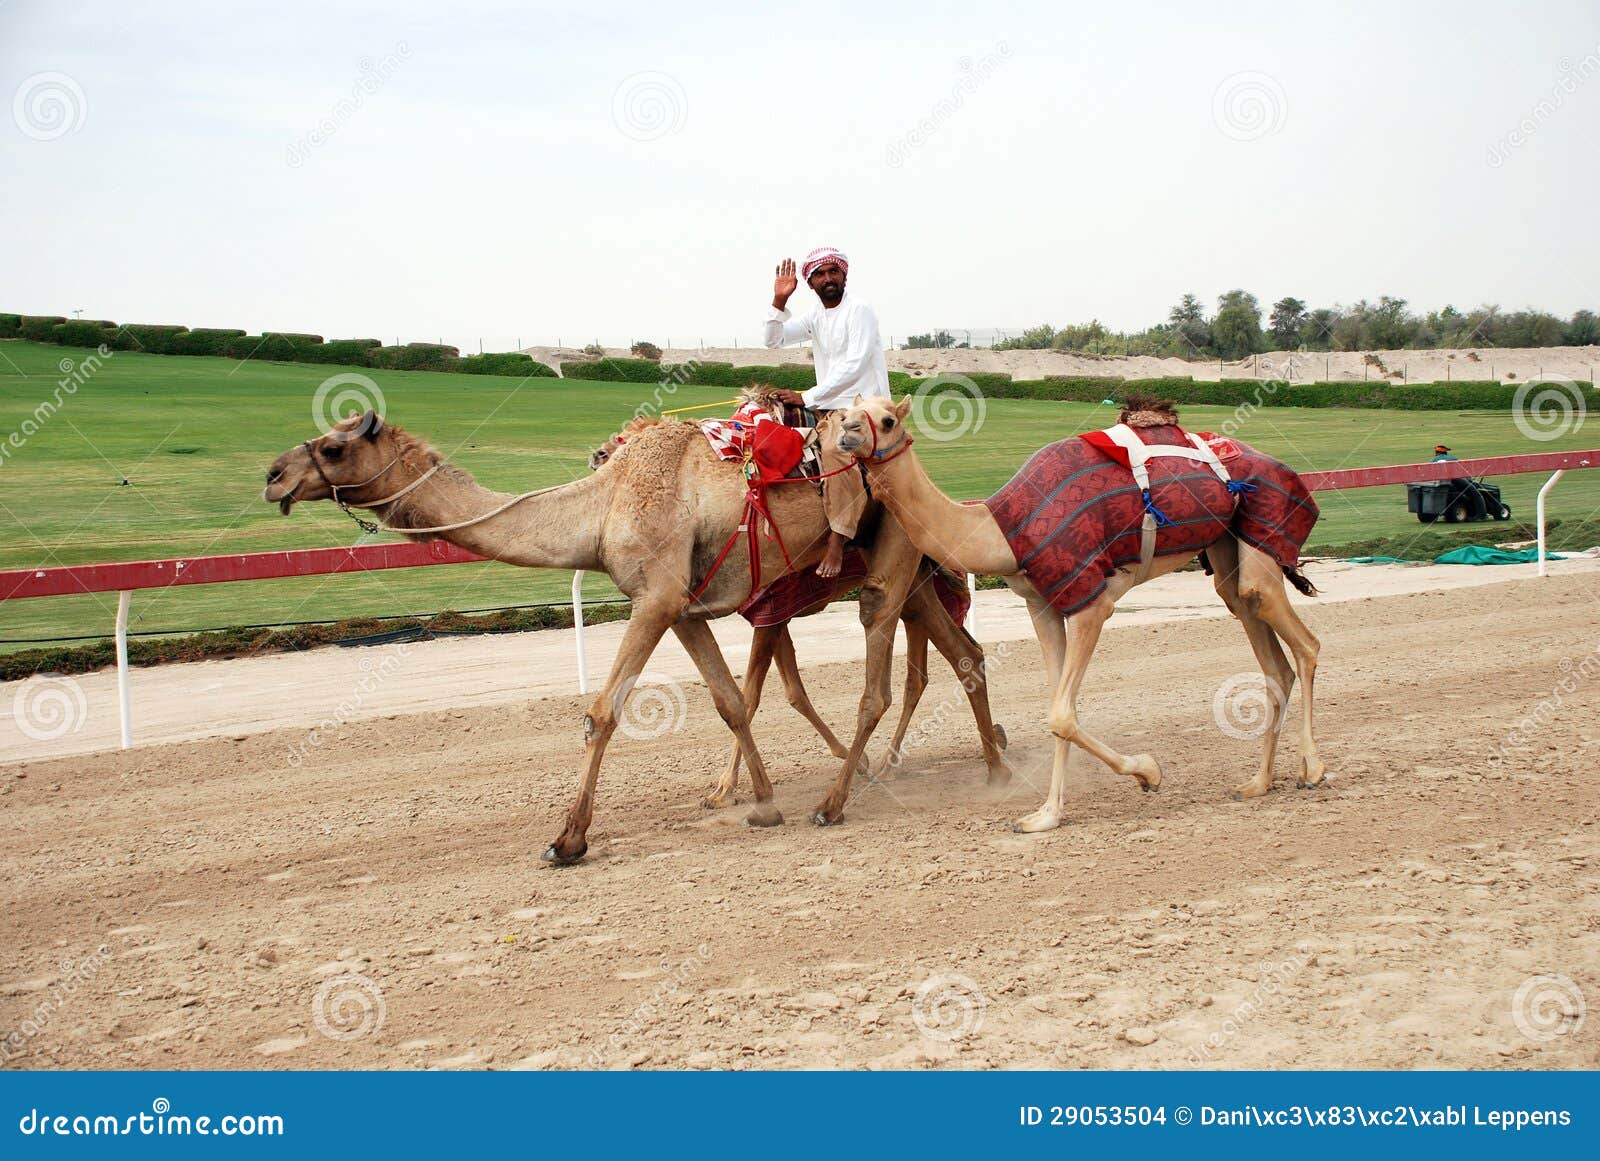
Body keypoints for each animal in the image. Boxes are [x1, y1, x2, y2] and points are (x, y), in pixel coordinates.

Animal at [263, 410, 1011, 864]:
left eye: (333, 445)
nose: (273, 475)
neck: (599, 507)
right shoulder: (681, 608)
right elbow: (730, 701)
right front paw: (762, 804)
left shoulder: (654, 599)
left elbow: (602, 712)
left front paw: (567, 839)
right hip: (916, 577)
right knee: (966, 657)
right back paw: (997, 770)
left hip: (888, 575)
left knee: (881, 687)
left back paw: (838, 802)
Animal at [834, 394, 1327, 834]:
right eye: (845, 412)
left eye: (887, 419)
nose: (848, 432)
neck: (1000, 532)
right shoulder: (1042, 606)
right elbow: (1058, 710)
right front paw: (1045, 816)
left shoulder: (1089, 599)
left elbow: (1061, 715)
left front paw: (1149, 772)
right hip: (1226, 547)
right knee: (1266, 648)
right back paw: (1257, 783)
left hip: (1265, 524)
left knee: (1302, 640)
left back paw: (1312, 770)